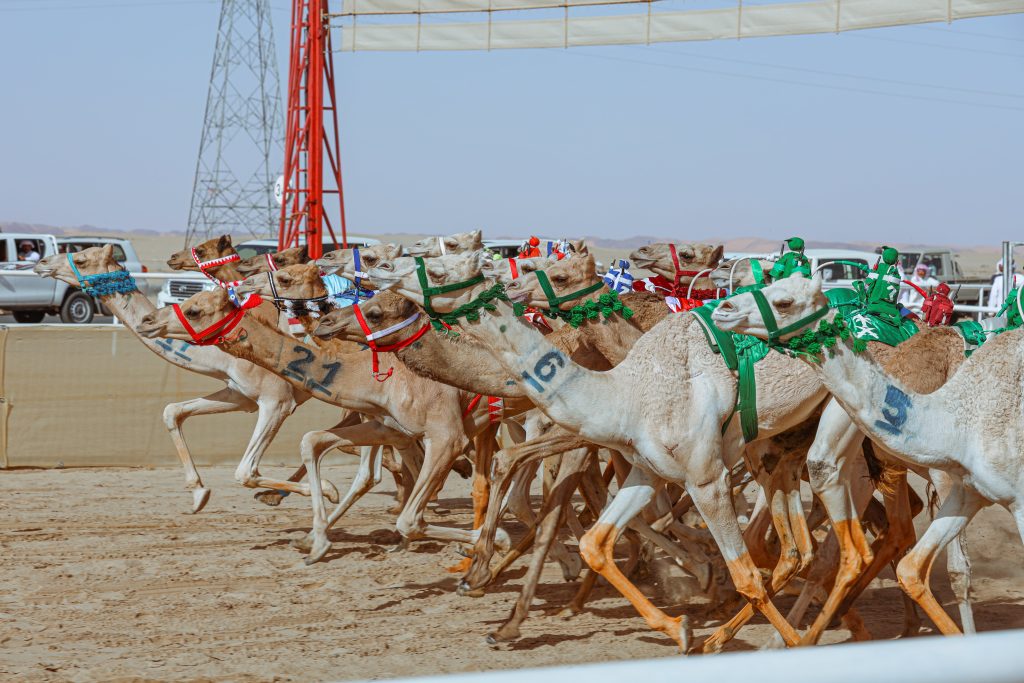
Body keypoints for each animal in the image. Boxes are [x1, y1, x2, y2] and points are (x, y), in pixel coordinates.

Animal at [32, 245, 342, 513]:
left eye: (82, 259)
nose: (42, 263)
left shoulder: (277, 401)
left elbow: (245, 470)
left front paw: (327, 488)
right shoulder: (239, 395)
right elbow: (173, 411)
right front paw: (198, 493)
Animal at [136, 264, 515, 565]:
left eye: (195, 310)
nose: (147, 320)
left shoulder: (276, 402)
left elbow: (248, 469)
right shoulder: (386, 426)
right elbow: (174, 411)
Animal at [364, 251, 837, 650]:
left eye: (437, 270)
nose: (377, 268)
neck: (625, 390)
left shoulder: (706, 477)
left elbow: (746, 576)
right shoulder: (647, 468)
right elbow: (594, 540)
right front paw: (681, 626)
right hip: (779, 451)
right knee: (798, 549)